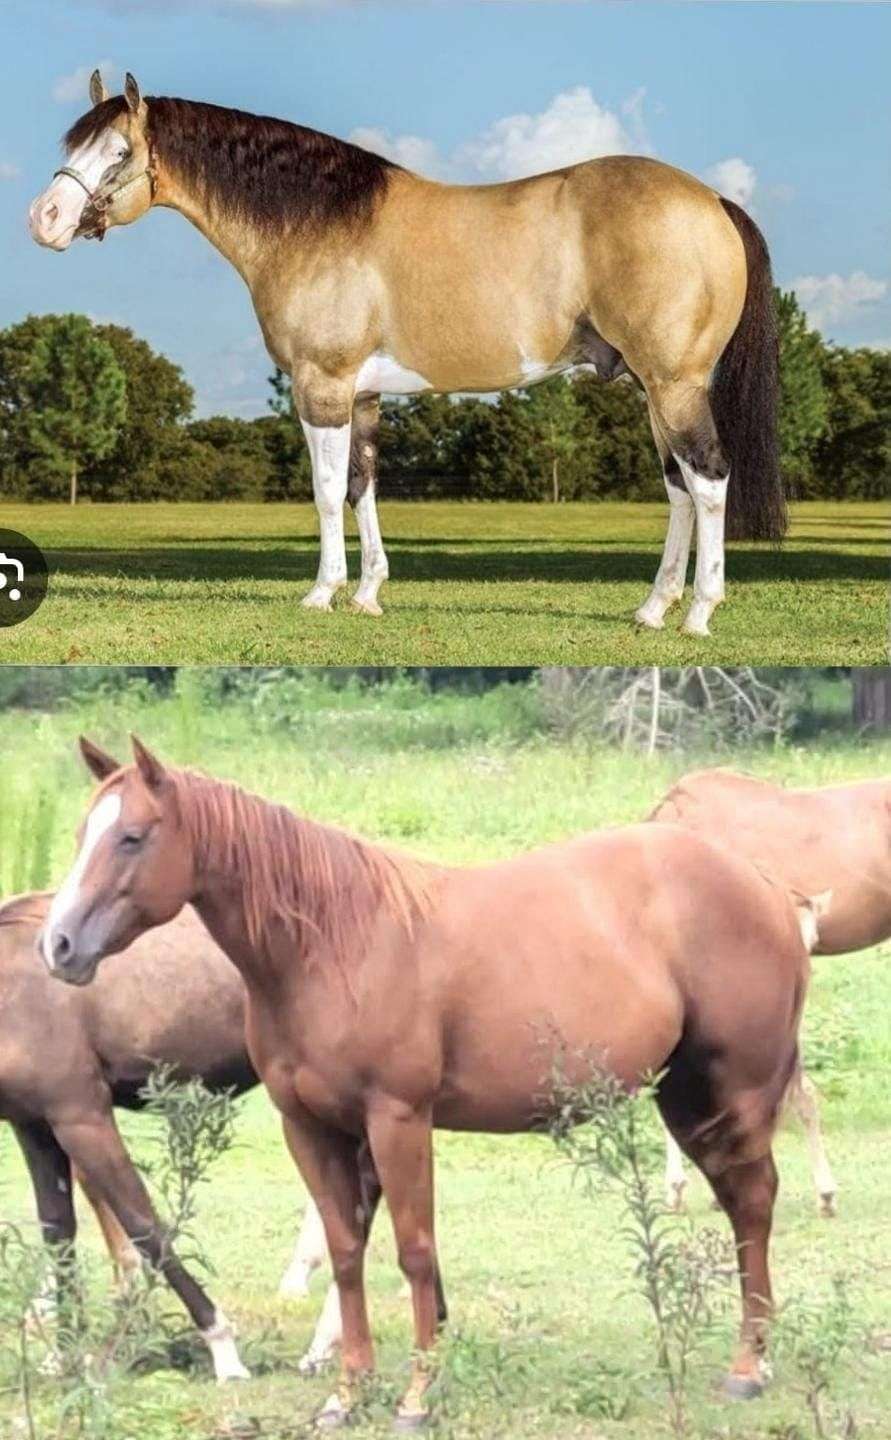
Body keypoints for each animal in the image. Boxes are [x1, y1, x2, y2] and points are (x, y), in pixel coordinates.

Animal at [0, 887, 351, 1379]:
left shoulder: (81, 1113)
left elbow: (143, 1224)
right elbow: (59, 1231)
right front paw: (63, 1353)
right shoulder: (34, 1123)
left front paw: (223, 1349)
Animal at [29, 70, 785, 637]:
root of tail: (712, 201)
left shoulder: (322, 386)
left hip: (675, 384)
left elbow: (325, 490)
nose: (44, 220)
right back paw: (652, 609)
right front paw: (367, 595)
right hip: (650, 389)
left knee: (708, 478)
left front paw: (322, 594)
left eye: (118, 153)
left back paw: (699, 614)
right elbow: (362, 486)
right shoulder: (362, 393)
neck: (315, 224)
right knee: (678, 486)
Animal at [40, 736, 813, 1429]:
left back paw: (749, 1366)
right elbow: (345, 1252)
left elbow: (415, 1253)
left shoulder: (399, 1120)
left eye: (132, 837)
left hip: (733, 1091)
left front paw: (416, 1395)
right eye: (83, 834)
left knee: (753, 1204)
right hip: (685, 1096)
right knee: (738, 1202)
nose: (58, 946)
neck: (333, 945)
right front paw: (346, 1393)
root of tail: (766, 888)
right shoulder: (309, 1128)